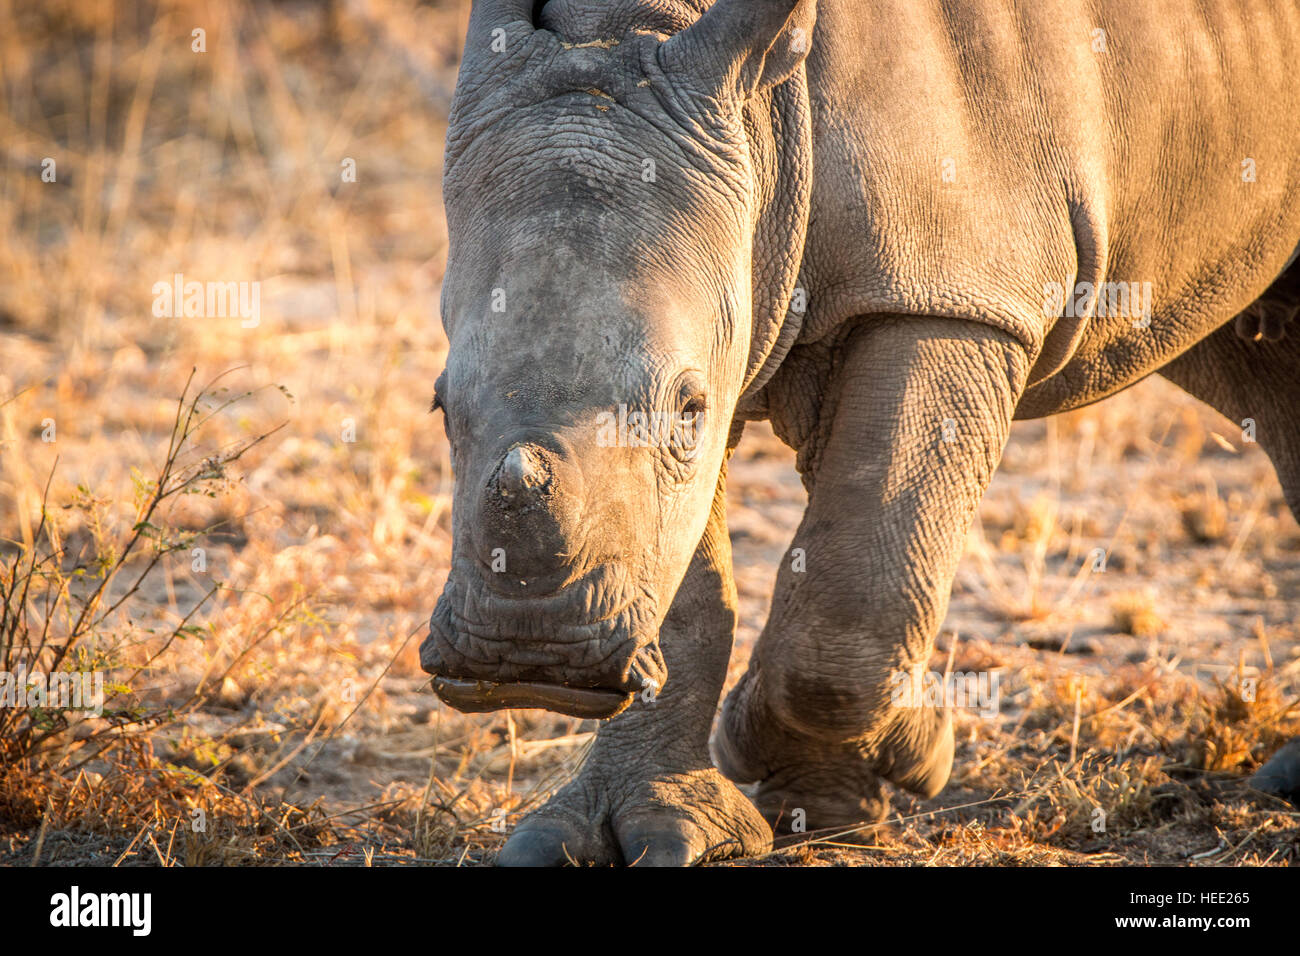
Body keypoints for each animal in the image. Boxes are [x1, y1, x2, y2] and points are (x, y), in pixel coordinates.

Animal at [420, 0, 1300, 865]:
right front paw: (656, 828)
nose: (531, 659)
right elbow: (684, 582)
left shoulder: (952, 292)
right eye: (440, 409)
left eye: (688, 410)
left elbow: (861, 576)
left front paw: (874, 758)